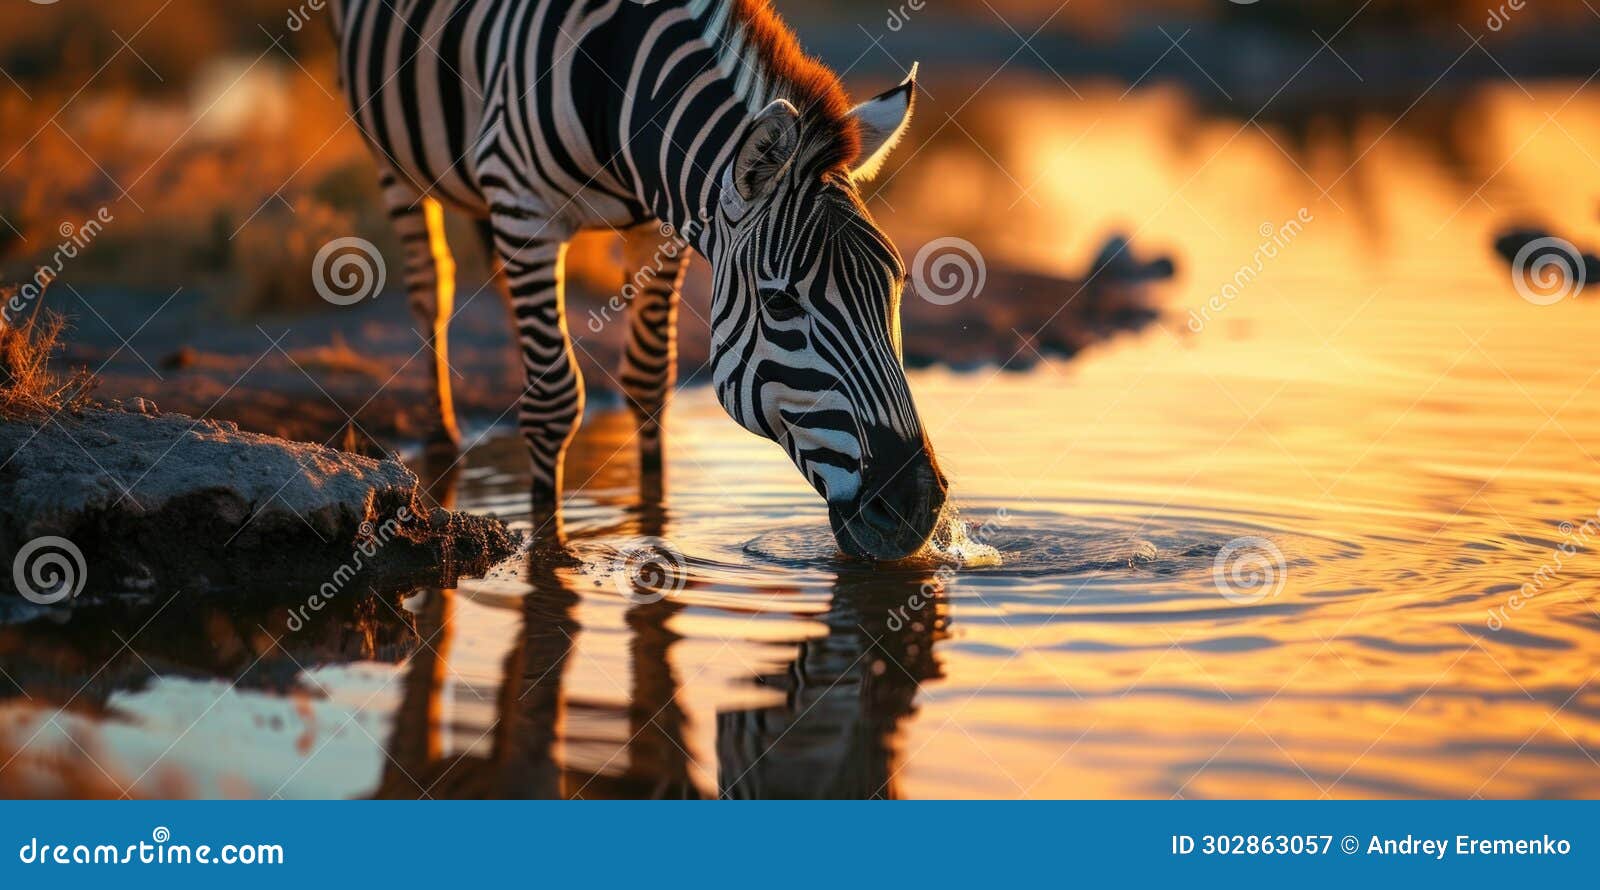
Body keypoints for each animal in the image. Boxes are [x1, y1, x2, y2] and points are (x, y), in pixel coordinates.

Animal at [330, 0, 948, 559]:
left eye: (896, 286)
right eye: (779, 304)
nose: (915, 505)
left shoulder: (659, 227)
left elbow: (649, 380)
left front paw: (655, 526)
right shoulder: (523, 206)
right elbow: (554, 402)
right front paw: (550, 551)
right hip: (394, 158)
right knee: (430, 284)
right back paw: (442, 429)